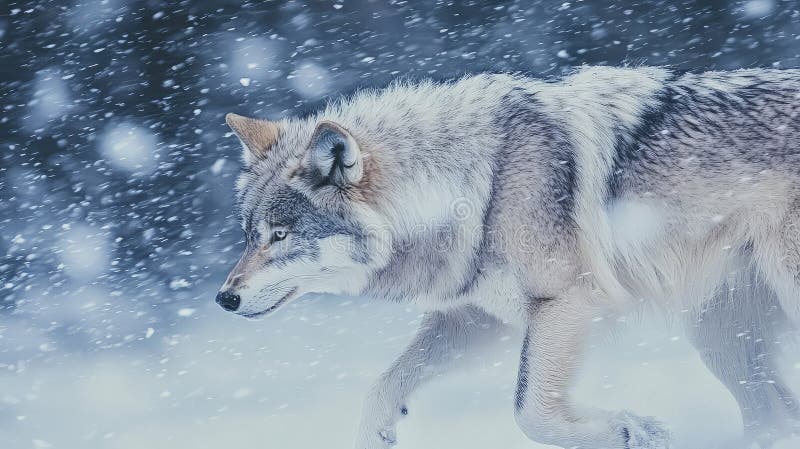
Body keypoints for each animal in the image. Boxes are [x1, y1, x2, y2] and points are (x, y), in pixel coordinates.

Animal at [215, 66, 800, 449]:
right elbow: (381, 388)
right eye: (248, 235)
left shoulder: (561, 303)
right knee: (774, 413)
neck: (474, 185)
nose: (224, 299)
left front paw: (632, 430)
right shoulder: (476, 317)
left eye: (281, 235)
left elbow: (528, 411)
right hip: (721, 337)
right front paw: (377, 433)